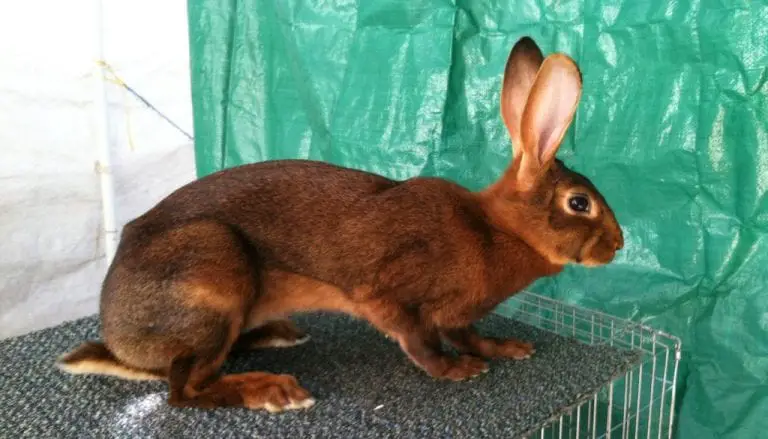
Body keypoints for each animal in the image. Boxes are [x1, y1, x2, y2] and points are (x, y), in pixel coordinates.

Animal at [56, 36, 623, 413]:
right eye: (579, 204)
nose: (618, 246)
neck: (494, 229)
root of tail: (118, 338)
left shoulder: (458, 315)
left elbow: (470, 334)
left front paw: (506, 349)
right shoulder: (388, 295)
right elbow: (419, 340)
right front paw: (456, 371)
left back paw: (279, 336)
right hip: (212, 272)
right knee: (184, 390)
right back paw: (273, 389)